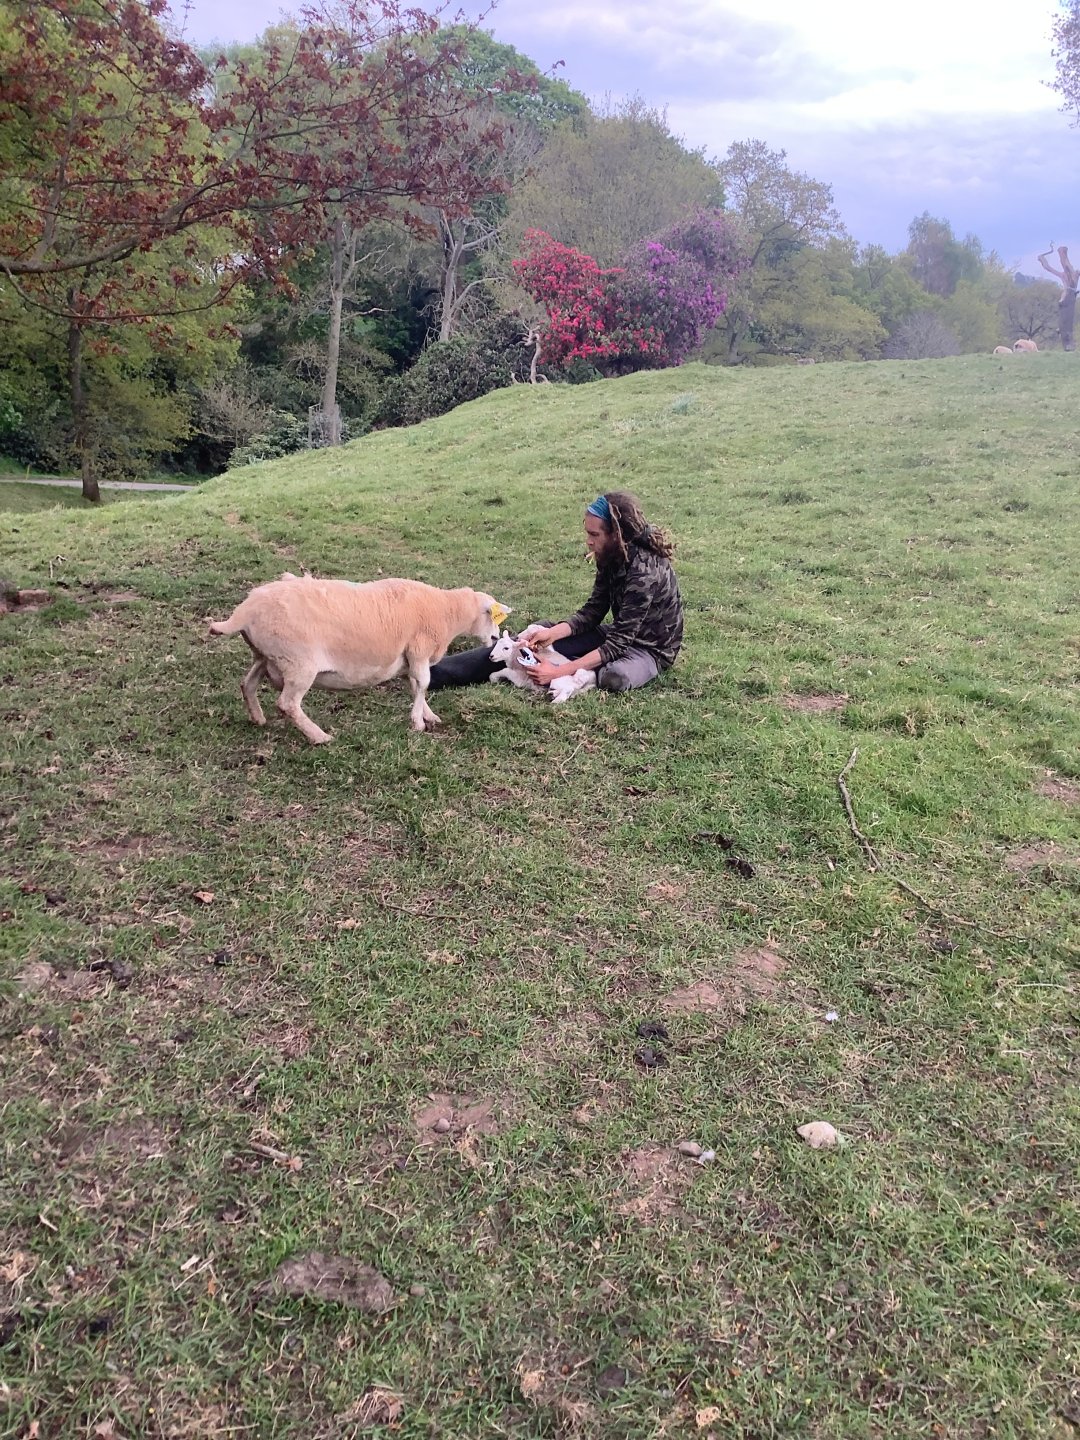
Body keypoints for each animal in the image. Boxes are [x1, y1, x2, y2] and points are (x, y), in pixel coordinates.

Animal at [208, 576, 508, 743]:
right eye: (490, 615)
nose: (494, 638)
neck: (446, 611)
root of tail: (245, 611)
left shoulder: (409, 658)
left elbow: (415, 687)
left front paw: (428, 715)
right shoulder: (419, 650)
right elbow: (423, 684)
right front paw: (418, 723)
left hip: (266, 655)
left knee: (247, 684)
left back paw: (258, 719)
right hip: (297, 662)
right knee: (287, 704)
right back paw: (319, 737)